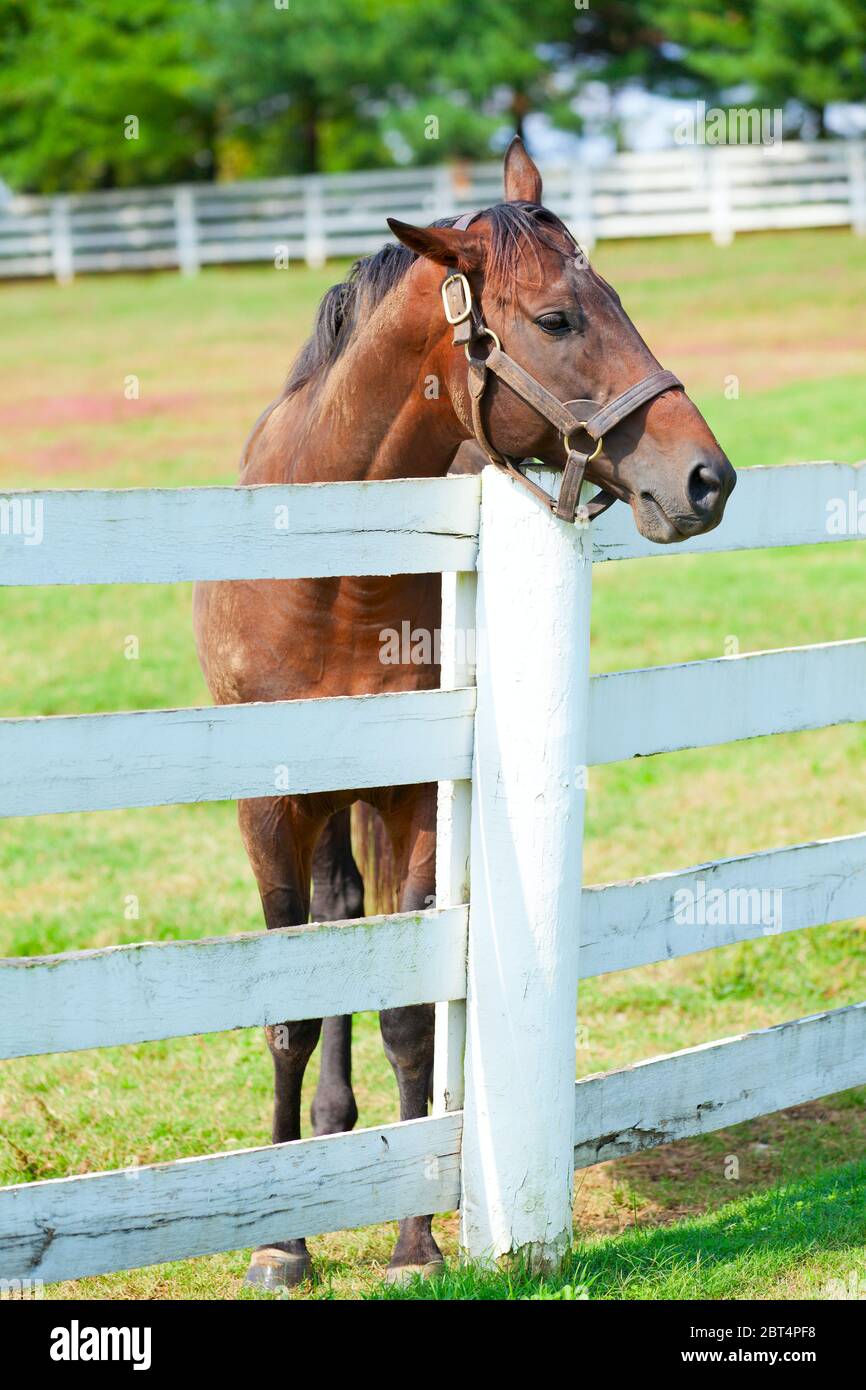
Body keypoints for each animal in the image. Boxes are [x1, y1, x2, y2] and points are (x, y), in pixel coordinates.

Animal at [193, 138, 735, 1288]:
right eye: (557, 320)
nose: (706, 478)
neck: (329, 575)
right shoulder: (271, 805)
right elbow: (286, 1011)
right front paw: (279, 1240)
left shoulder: (414, 799)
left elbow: (404, 1012)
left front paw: (412, 1243)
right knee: (331, 930)